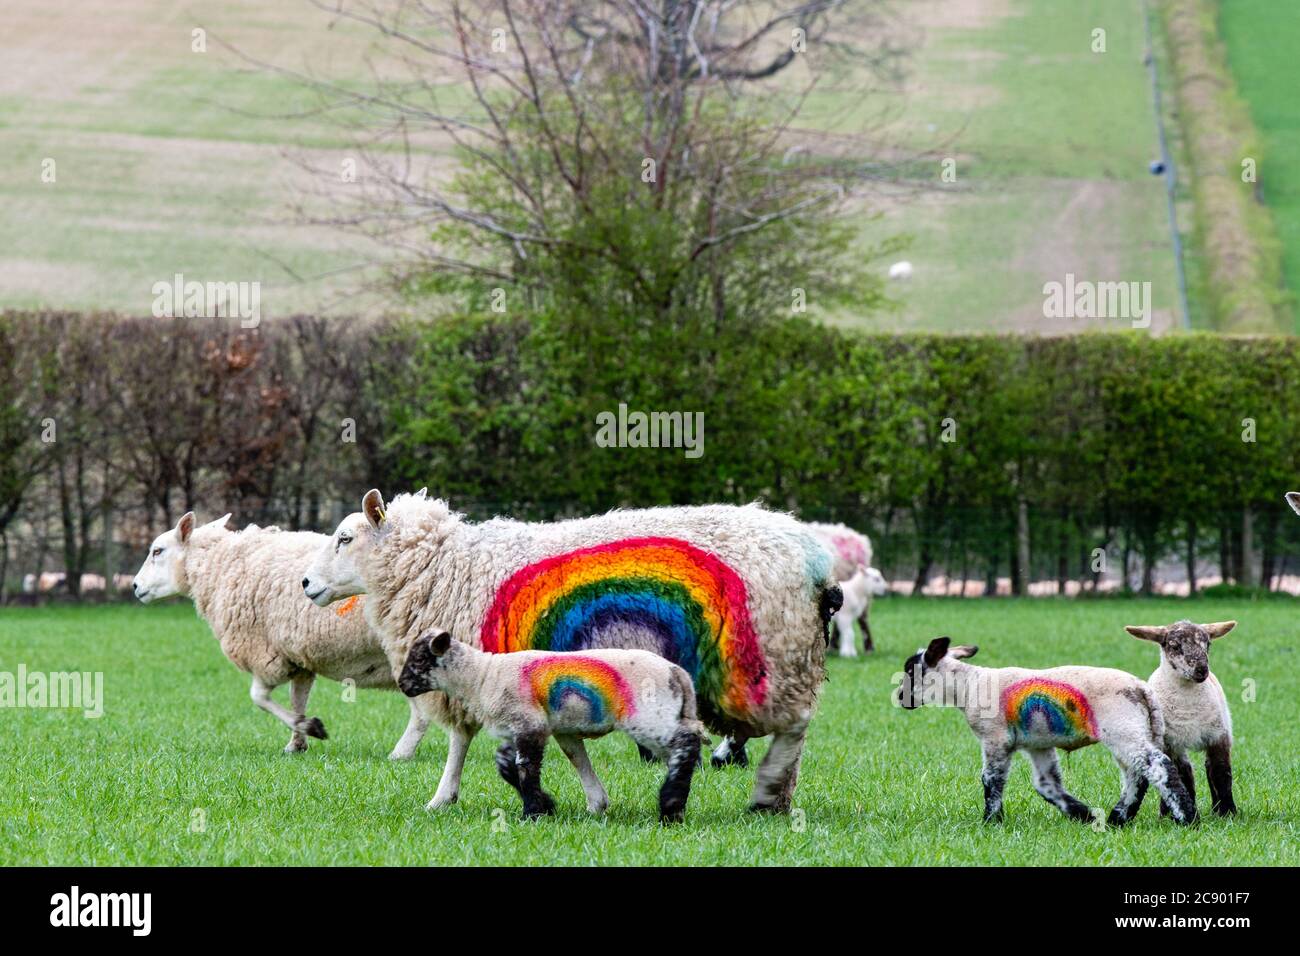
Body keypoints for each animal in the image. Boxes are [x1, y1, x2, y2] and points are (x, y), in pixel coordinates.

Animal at [131, 511, 432, 758]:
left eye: (157, 550)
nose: (134, 586)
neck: (220, 567)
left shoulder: (265, 652)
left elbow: (259, 698)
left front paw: (312, 727)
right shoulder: (299, 658)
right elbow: (297, 700)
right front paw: (297, 743)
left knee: (421, 714)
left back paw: (401, 753)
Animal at [397, 630, 707, 821]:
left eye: (420, 659)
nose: (402, 685)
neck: (481, 677)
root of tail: (677, 673)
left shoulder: (529, 724)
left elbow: (526, 768)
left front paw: (533, 813)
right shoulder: (547, 729)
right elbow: (509, 764)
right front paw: (559, 805)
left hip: (649, 717)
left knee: (687, 742)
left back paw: (670, 808)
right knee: (685, 748)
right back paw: (675, 805)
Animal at [897, 637, 1196, 826]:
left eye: (911, 670)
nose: (900, 697)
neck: (969, 685)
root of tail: (1143, 689)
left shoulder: (995, 738)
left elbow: (991, 780)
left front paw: (991, 821)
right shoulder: (1037, 744)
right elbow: (1046, 785)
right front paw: (1083, 815)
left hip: (1123, 730)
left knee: (1158, 766)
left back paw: (1188, 818)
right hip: (1135, 730)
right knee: (1137, 776)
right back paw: (1117, 819)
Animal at [1126, 620, 1238, 819]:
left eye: (1208, 644)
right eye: (1174, 646)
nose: (1202, 670)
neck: (1188, 709)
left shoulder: (1218, 736)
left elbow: (1221, 771)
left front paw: (1228, 813)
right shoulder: (1172, 744)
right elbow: (1184, 775)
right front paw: (1187, 813)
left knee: (1209, 767)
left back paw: (1215, 809)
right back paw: (1165, 813)